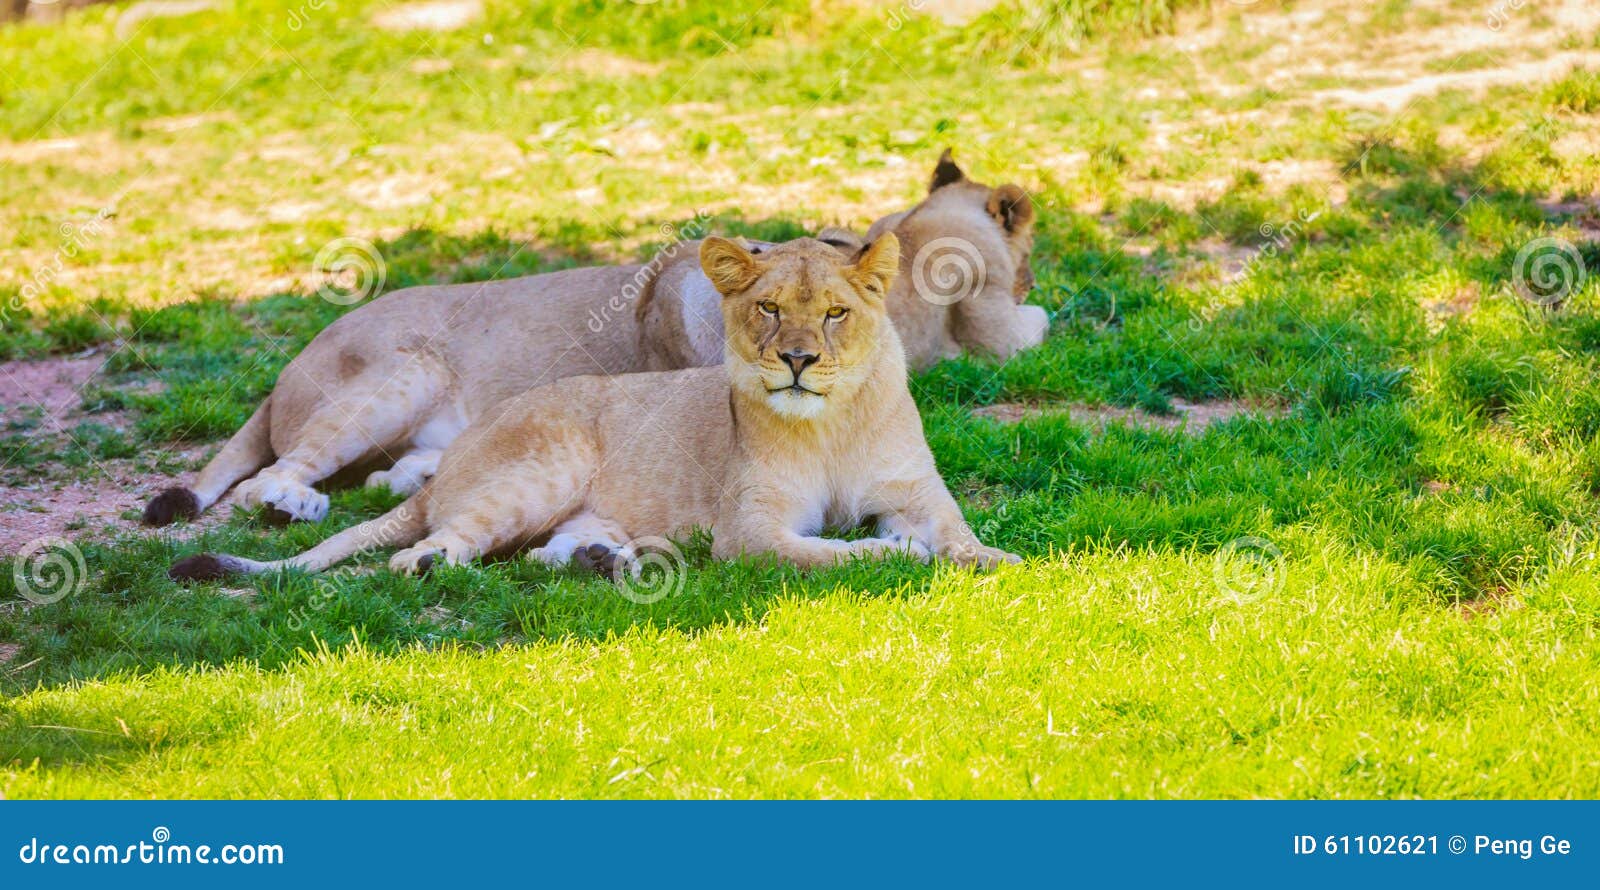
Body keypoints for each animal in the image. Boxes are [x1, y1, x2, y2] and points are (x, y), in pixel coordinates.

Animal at [142, 151, 1047, 528]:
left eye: (829, 313)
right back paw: (295, 501)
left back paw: (410, 478)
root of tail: (277, 381)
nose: (794, 359)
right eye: (761, 311)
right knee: (270, 479)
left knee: (392, 474)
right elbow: (1029, 326)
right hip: (400, 371)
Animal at [168, 235, 1019, 582]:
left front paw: (1002, 563)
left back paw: (602, 561)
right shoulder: (751, 531)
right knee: (414, 546)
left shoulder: (918, 492)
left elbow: (959, 532)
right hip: (494, 436)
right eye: (770, 309)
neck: (833, 422)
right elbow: (833, 552)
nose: (799, 360)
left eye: (837, 314)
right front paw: (896, 551)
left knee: (537, 547)